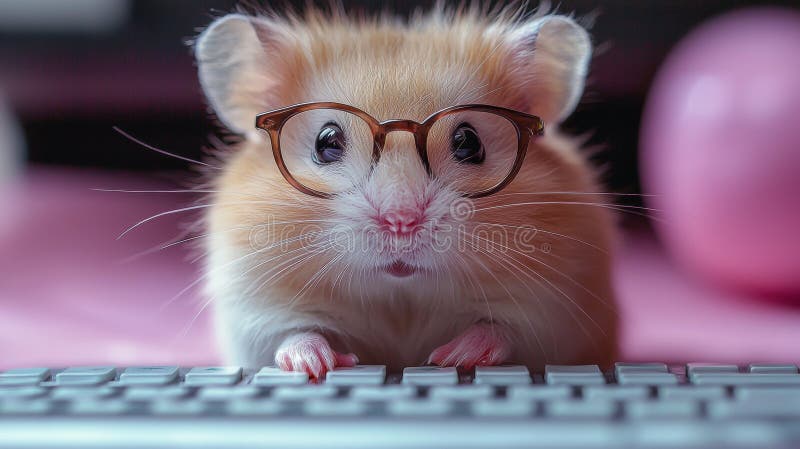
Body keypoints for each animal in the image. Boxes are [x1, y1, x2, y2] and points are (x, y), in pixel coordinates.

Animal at [194, 4, 617, 378]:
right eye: (326, 142)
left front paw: (451, 357)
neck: (400, 299)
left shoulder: (556, 308)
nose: (401, 222)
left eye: (468, 143)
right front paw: (319, 364)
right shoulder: (252, 303)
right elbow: (291, 332)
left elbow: (503, 329)